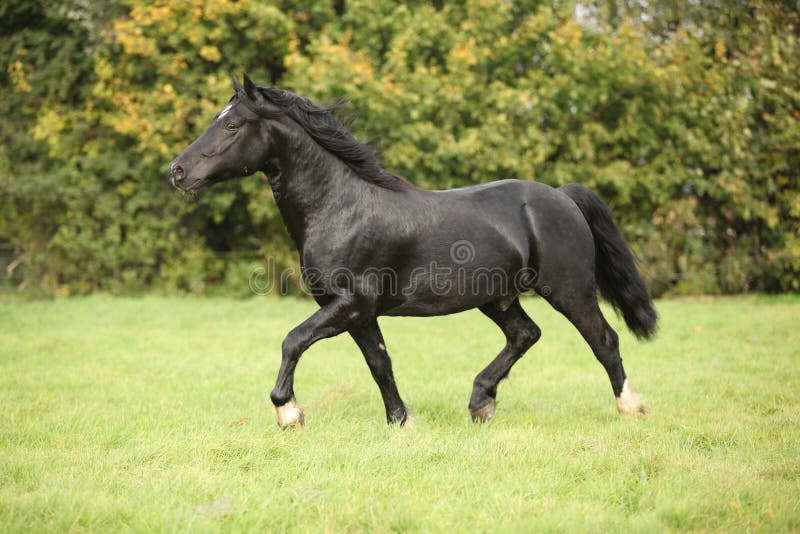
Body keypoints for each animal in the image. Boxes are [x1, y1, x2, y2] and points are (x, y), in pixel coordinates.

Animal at [170, 74, 657, 428]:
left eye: (232, 124)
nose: (177, 171)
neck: (340, 208)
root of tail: (561, 196)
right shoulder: (357, 313)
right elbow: (379, 364)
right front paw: (400, 421)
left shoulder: (350, 304)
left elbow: (293, 340)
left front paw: (288, 412)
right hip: (496, 298)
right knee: (525, 334)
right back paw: (480, 403)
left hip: (569, 289)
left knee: (604, 340)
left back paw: (630, 408)